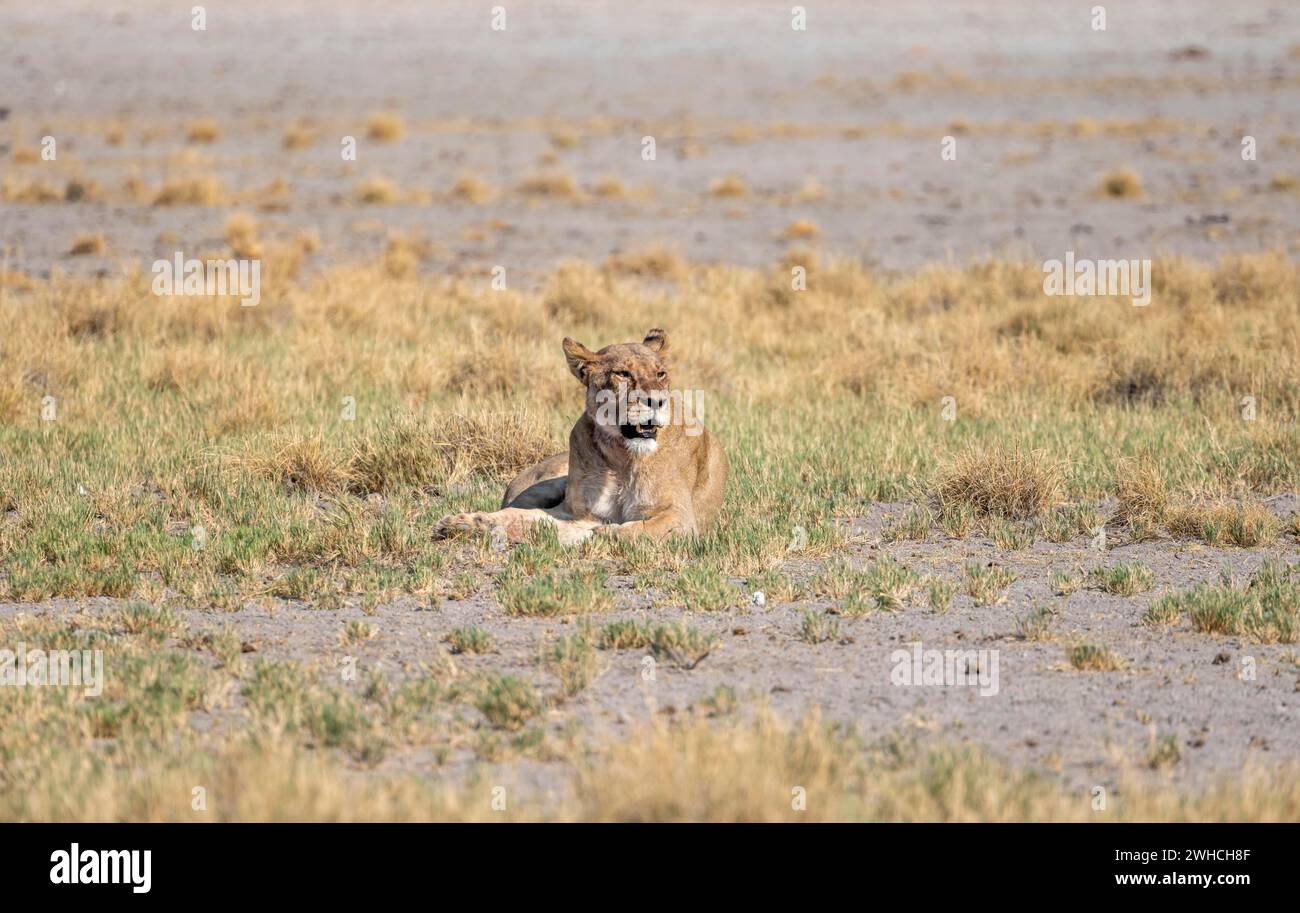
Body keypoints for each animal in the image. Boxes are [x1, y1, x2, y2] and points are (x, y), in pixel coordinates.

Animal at [435, 328, 727, 545]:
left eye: (660, 374)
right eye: (623, 373)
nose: (656, 401)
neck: (622, 455)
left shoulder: (681, 518)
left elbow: (633, 531)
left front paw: (604, 534)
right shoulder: (577, 513)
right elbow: (523, 517)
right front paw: (469, 523)